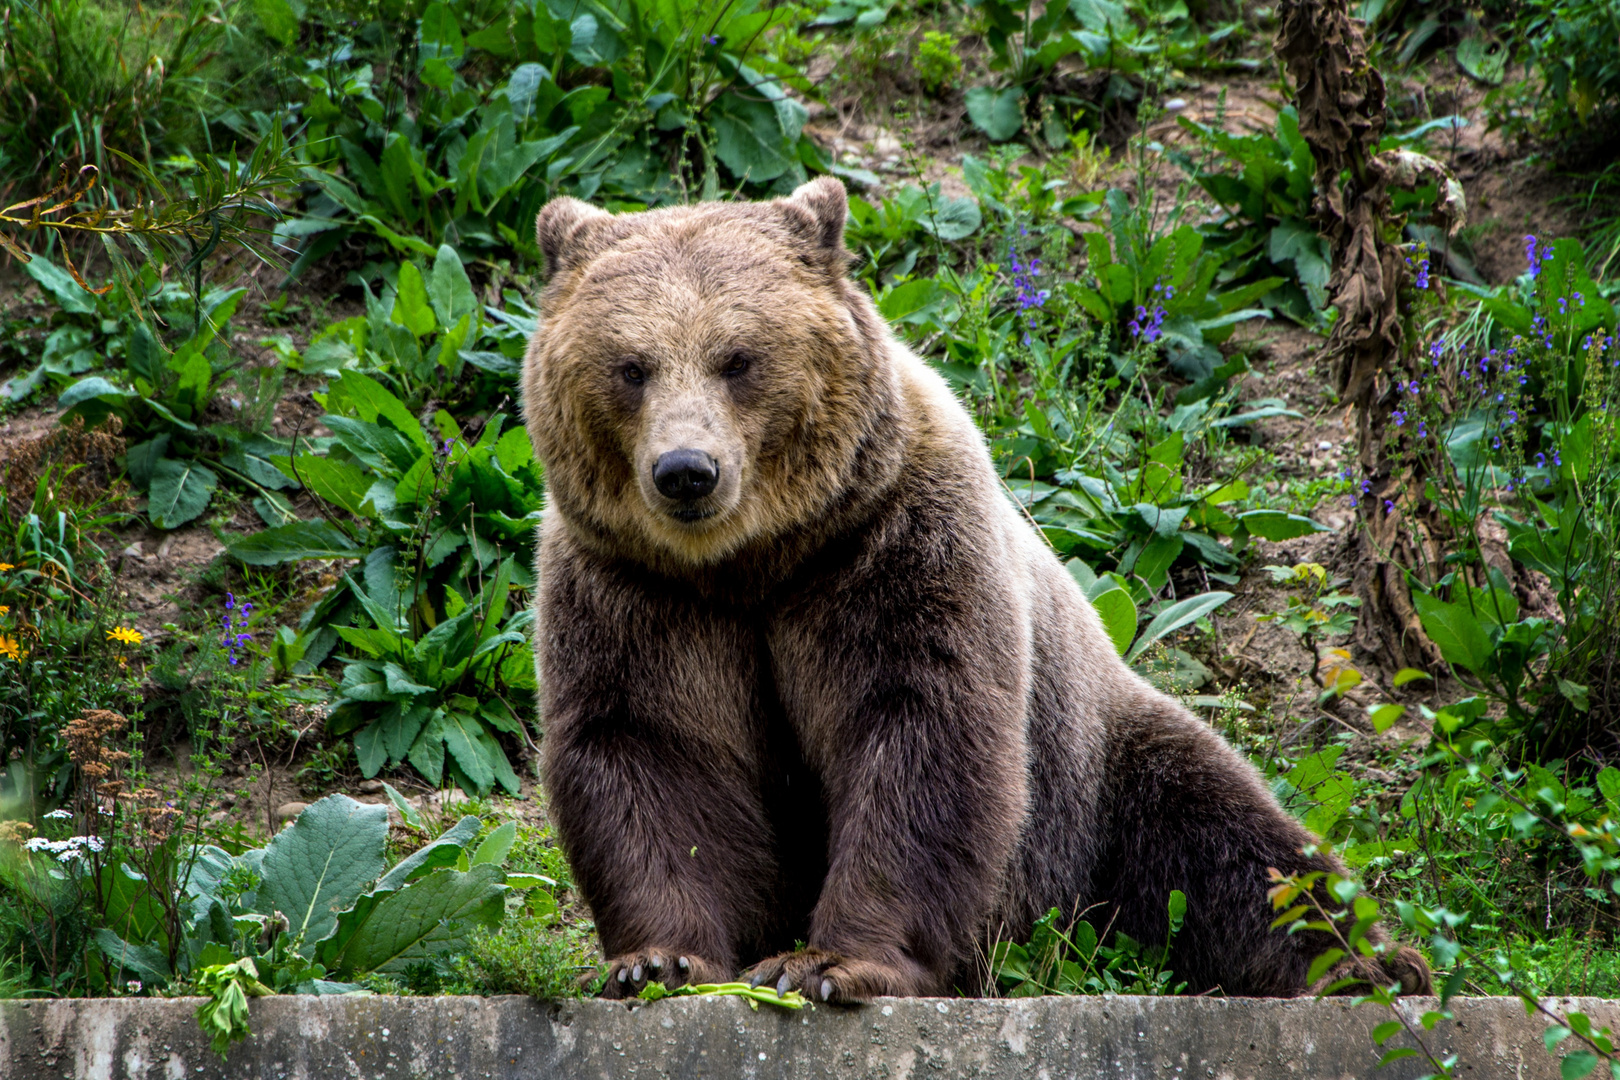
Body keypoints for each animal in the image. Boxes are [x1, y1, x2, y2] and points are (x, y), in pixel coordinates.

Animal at [521, 176, 1430, 1003]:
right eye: (631, 367)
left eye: (738, 358)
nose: (687, 471)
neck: (757, 560)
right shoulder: (636, 592)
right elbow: (650, 752)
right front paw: (658, 961)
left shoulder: (891, 548)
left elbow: (923, 730)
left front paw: (828, 963)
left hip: (1098, 776)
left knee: (1234, 846)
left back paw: (1368, 965)